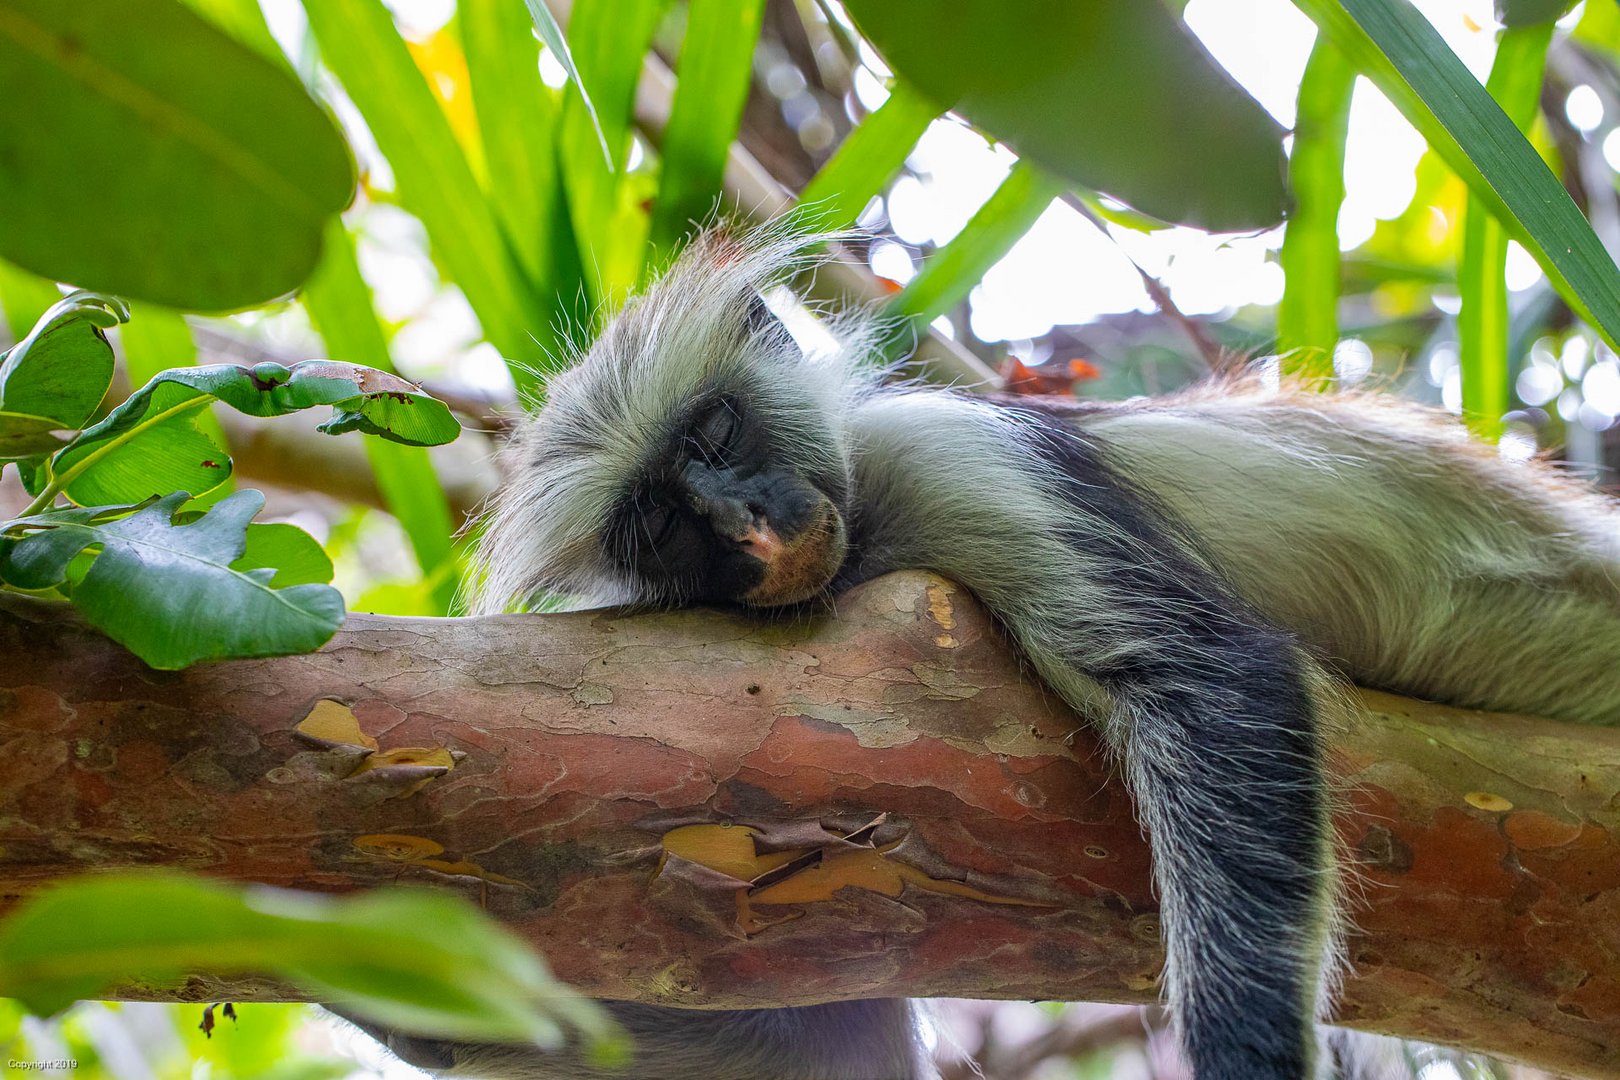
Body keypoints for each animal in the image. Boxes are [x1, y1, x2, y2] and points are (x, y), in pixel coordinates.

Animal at [343, 226, 1620, 1080]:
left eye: (717, 430)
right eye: (661, 524)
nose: (748, 525)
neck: (864, 537)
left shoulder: (954, 455)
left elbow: (1211, 677)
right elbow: (828, 1050)